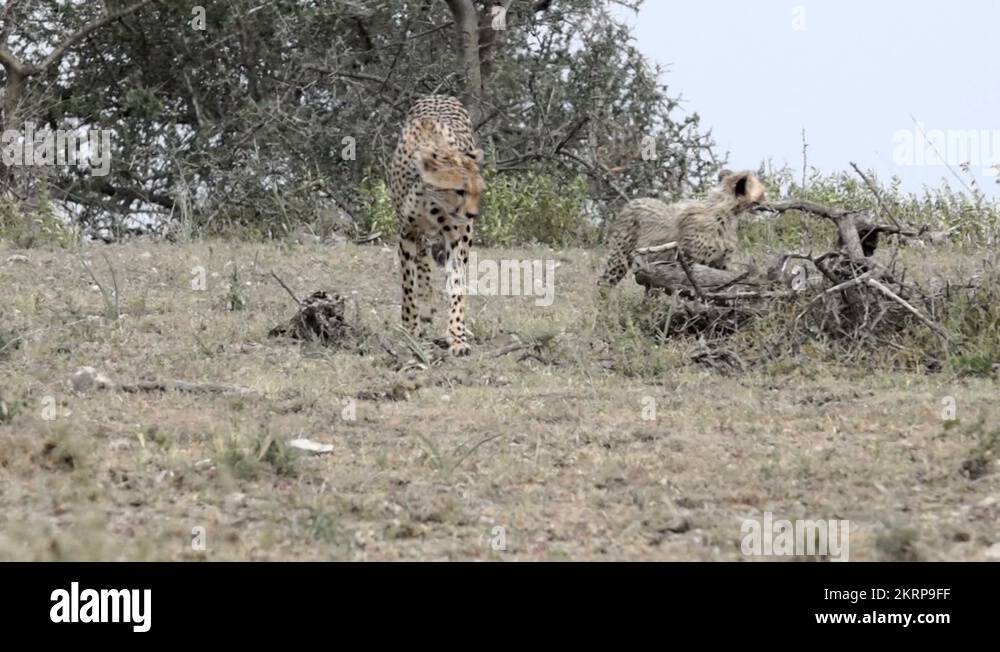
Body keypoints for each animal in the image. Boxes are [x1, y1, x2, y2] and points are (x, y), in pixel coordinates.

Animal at [386, 95, 485, 356]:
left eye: (477, 192)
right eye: (459, 190)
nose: (473, 214)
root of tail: (441, 96)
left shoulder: (455, 235)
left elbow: (457, 285)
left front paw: (457, 335)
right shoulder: (407, 233)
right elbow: (408, 286)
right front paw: (410, 329)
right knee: (423, 264)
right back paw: (425, 307)